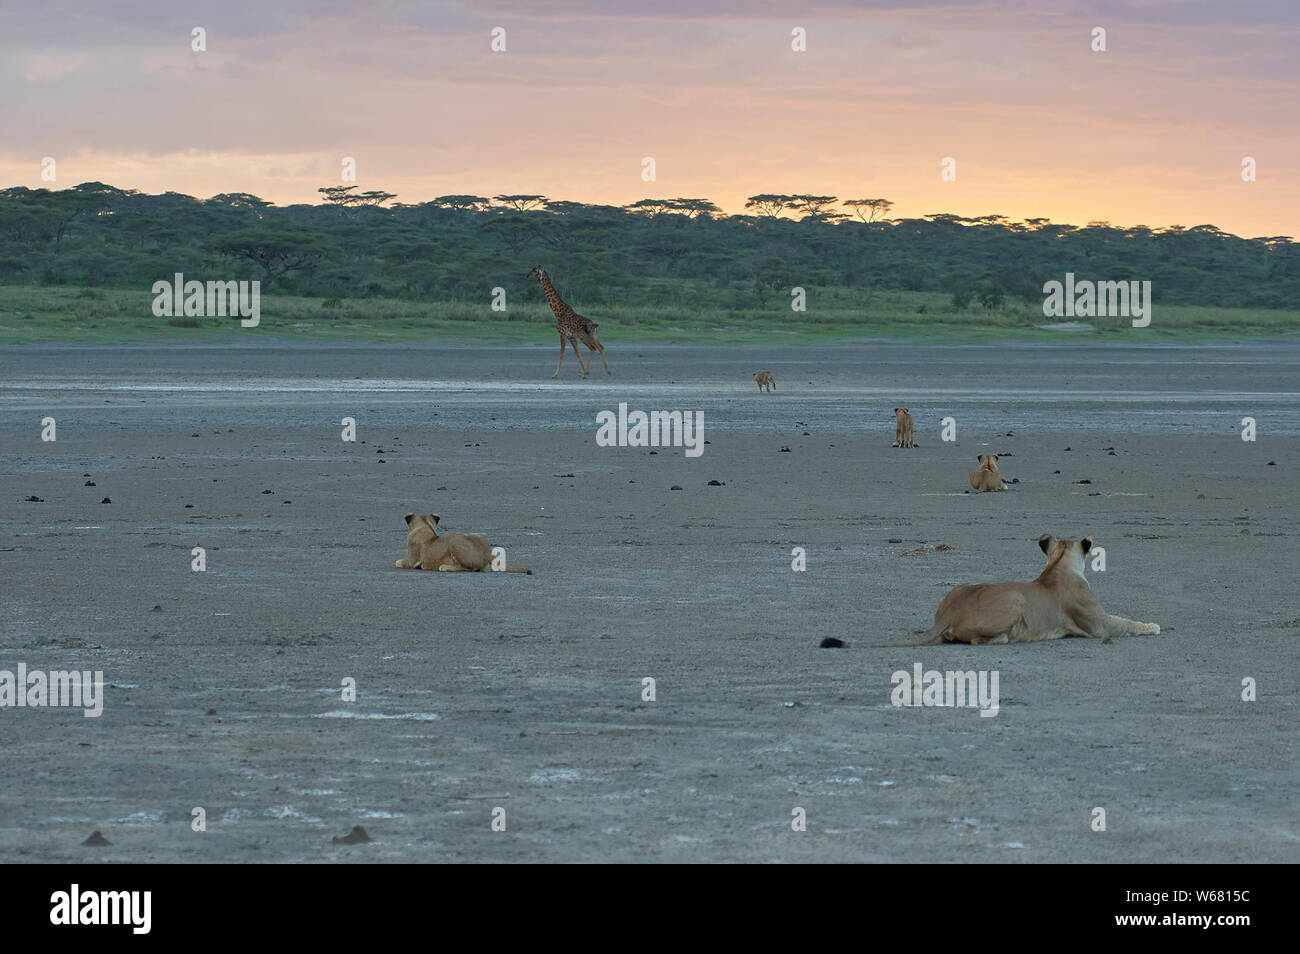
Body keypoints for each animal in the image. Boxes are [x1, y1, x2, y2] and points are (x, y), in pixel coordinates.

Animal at [395, 513, 532, 573]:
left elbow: (397, 562)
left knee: (469, 568)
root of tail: (488, 552)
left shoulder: (410, 561)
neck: (425, 526)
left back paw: (445, 567)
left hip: (454, 542)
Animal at [893, 534, 1159, 645]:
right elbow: (1125, 623)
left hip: (958, 589)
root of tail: (949, 613)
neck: (1058, 566)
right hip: (1015, 598)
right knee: (978, 641)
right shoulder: (1098, 625)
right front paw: (1153, 626)